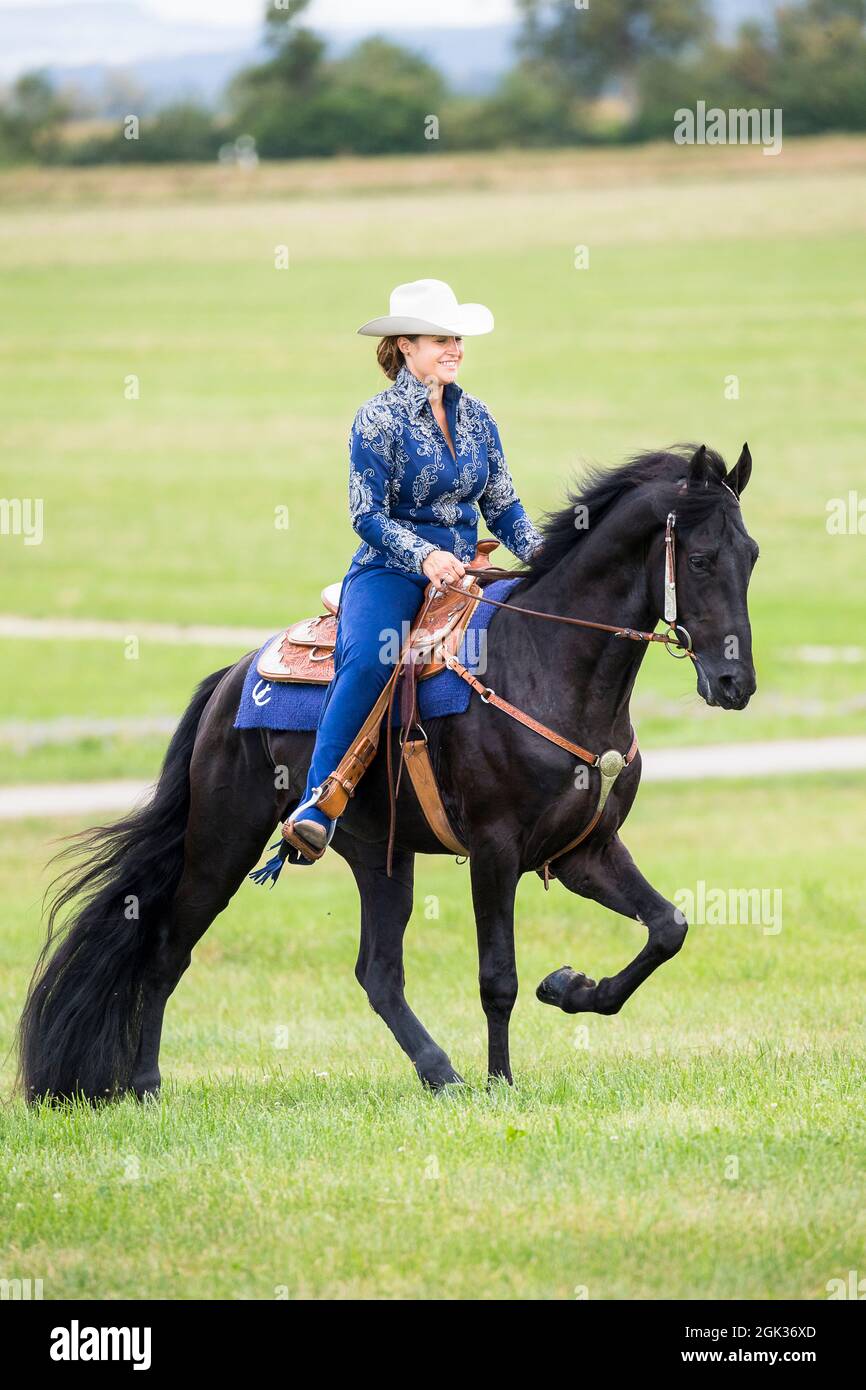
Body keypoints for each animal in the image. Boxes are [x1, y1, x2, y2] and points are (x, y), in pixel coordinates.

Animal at [17, 443, 758, 1102]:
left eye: (750, 556)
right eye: (699, 559)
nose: (735, 683)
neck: (544, 662)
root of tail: (231, 679)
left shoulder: (586, 851)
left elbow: (667, 928)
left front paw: (572, 988)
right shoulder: (495, 849)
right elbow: (499, 977)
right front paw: (502, 1080)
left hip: (381, 856)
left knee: (377, 974)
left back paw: (441, 1074)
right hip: (222, 843)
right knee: (168, 948)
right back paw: (146, 1085)